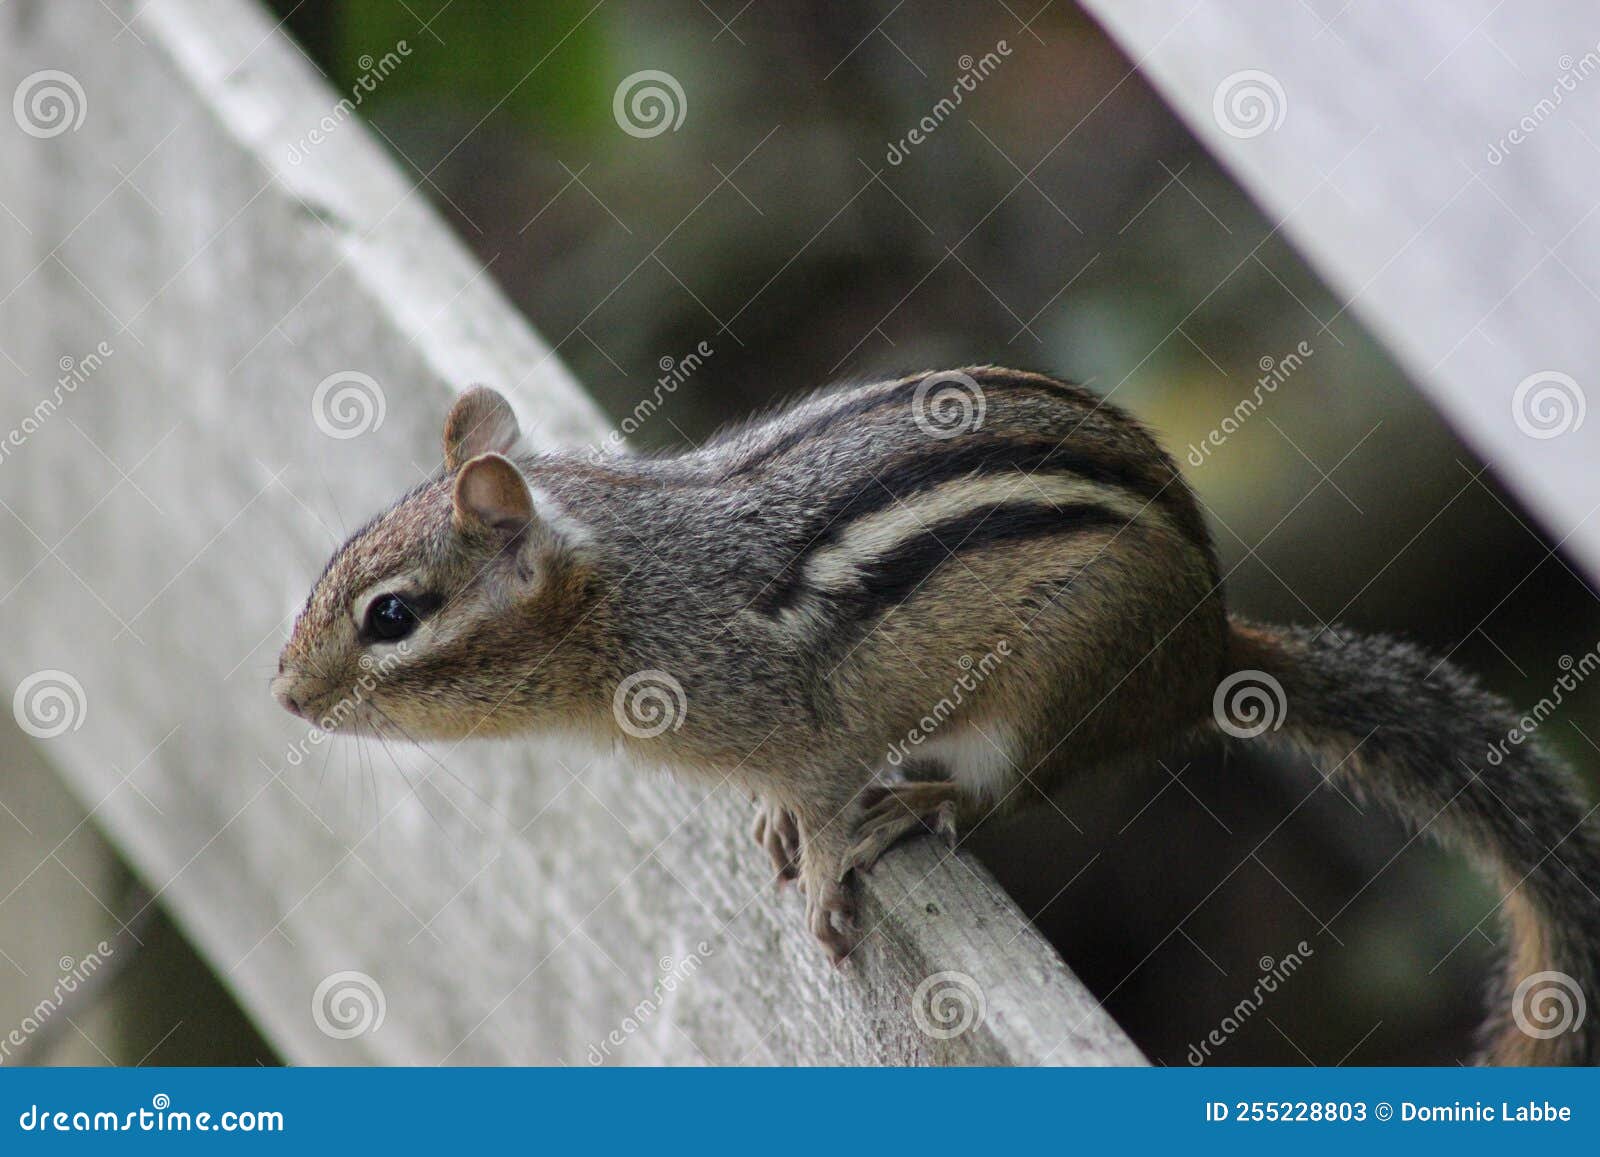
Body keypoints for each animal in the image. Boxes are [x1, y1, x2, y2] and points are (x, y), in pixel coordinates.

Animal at [274, 366, 1600, 1065]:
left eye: (391, 615)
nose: (286, 693)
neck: (637, 588)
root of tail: (1207, 647)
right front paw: (767, 824)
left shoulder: (810, 724)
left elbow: (821, 794)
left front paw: (818, 868)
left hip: (1046, 690)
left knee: (997, 788)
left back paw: (909, 802)